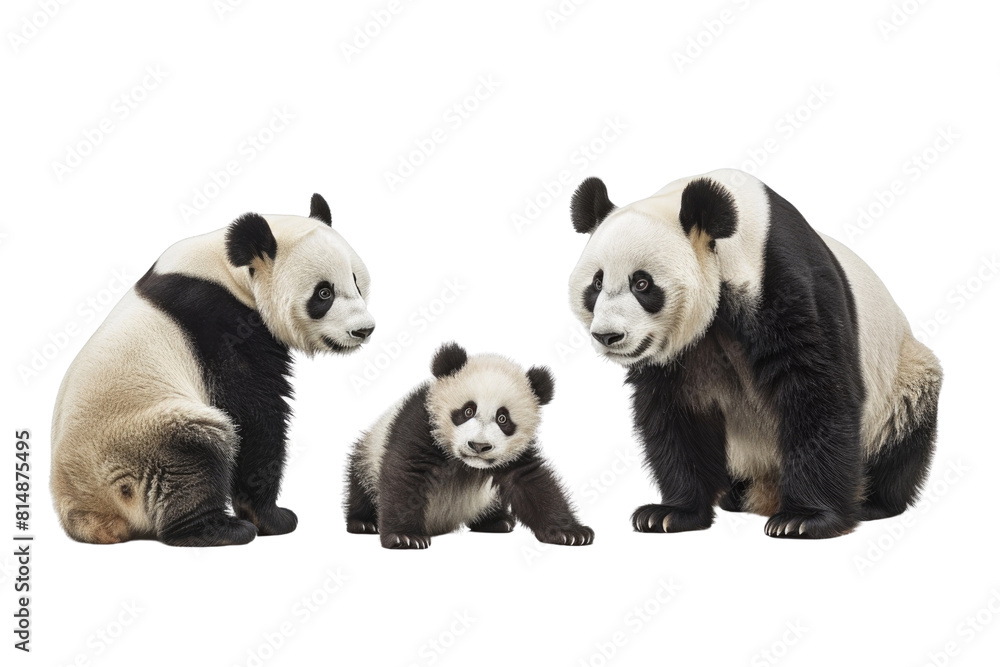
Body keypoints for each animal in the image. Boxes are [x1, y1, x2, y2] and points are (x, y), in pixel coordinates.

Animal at [51, 194, 375, 546]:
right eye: (324, 293)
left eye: (357, 282)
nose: (363, 330)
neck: (228, 272)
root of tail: (90, 513)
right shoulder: (221, 326)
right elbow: (254, 413)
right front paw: (272, 518)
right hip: (136, 441)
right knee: (193, 457)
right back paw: (219, 529)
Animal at [344, 342, 594, 549]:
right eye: (467, 411)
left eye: (503, 419)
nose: (479, 446)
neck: (463, 464)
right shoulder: (420, 424)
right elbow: (406, 474)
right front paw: (405, 537)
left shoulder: (517, 454)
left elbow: (533, 484)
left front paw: (570, 532)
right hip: (368, 455)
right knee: (360, 486)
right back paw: (364, 523)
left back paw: (498, 521)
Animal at [568, 168, 943, 539]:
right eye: (596, 284)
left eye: (642, 284)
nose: (608, 335)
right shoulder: (681, 353)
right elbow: (677, 412)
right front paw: (670, 513)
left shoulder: (782, 276)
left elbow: (817, 388)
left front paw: (804, 519)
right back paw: (736, 495)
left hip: (900, 381)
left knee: (902, 429)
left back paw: (871, 501)